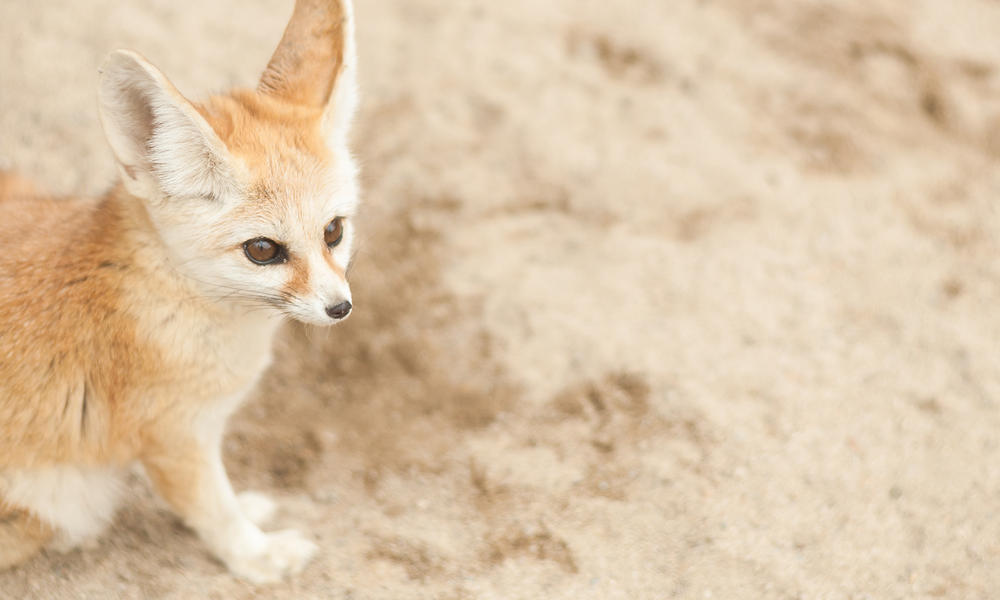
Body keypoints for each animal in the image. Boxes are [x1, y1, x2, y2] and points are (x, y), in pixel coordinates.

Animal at [0, 0, 359, 583]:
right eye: (263, 250)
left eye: (333, 231)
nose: (340, 308)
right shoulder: (176, 442)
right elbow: (215, 512)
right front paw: (258, 555)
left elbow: (223, 499)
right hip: (60, 494)